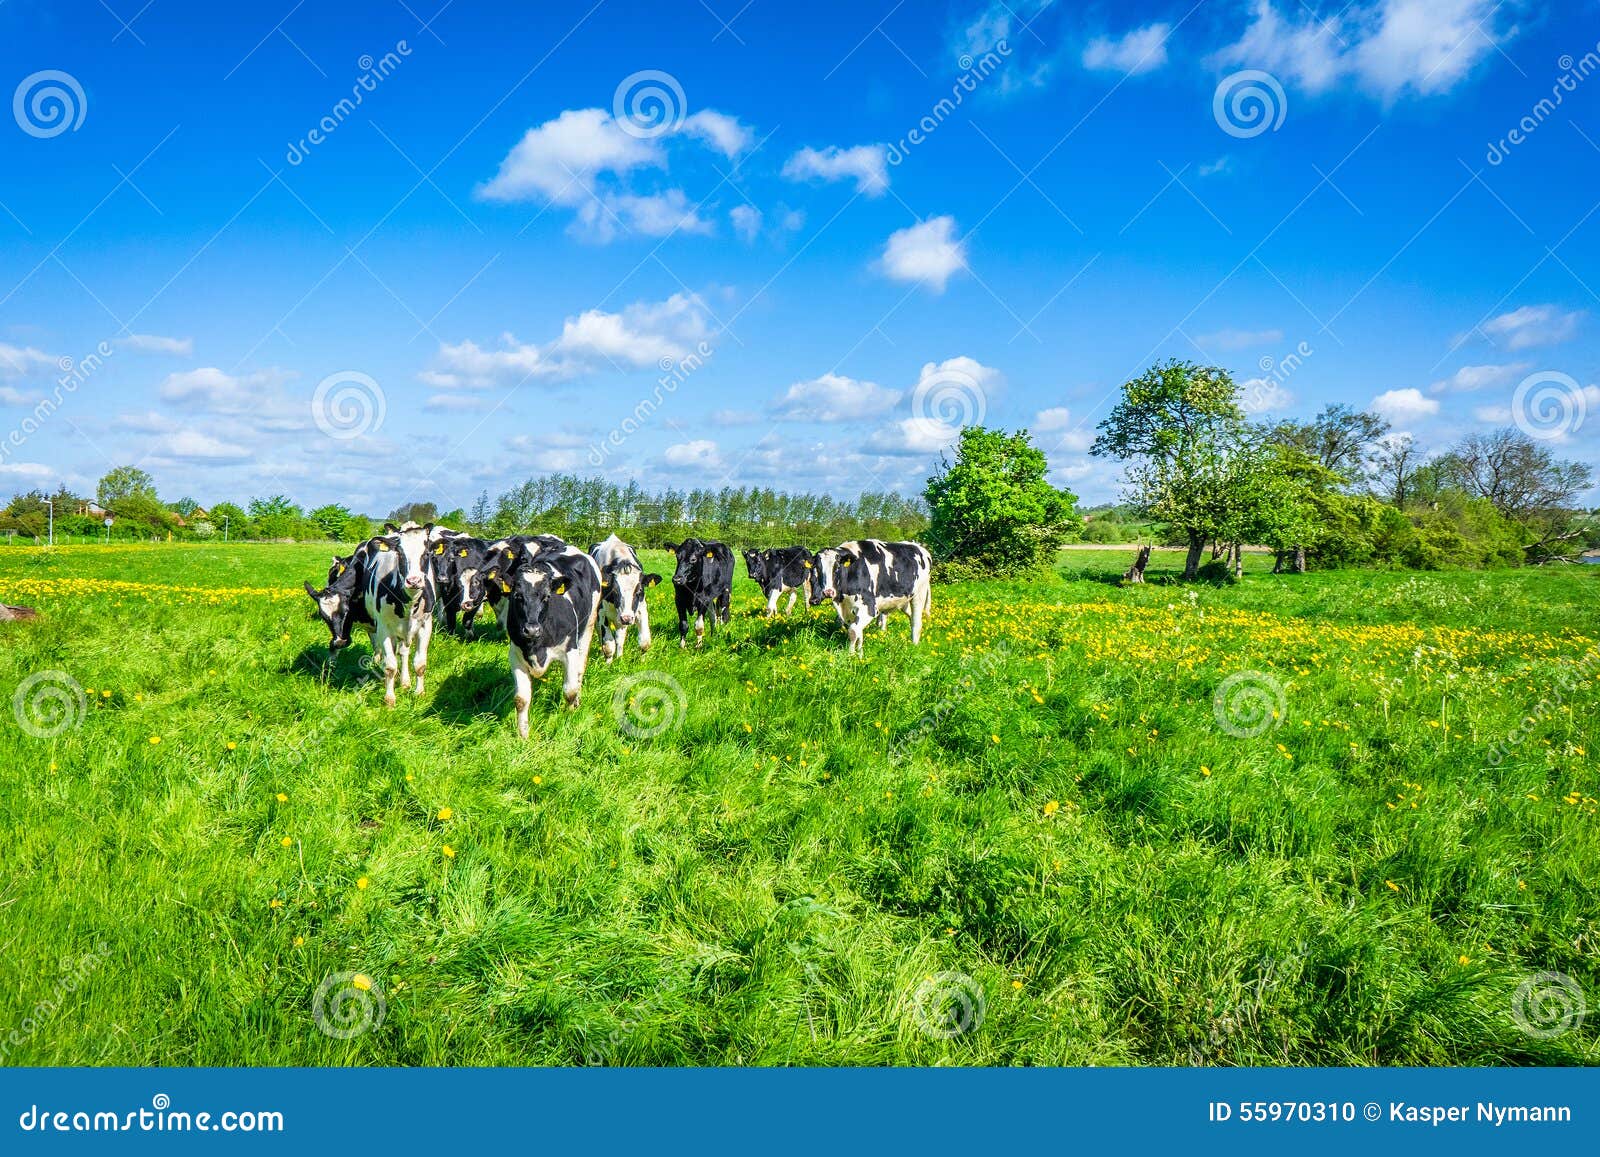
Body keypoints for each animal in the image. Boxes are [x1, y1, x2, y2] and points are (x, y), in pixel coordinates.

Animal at [363, 522, 437, 705]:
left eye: (426, 553)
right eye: (399, 553)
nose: (414, 581)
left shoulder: (426, 625)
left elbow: (420, 664)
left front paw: (419, 692)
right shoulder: (384, 627)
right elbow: (390, 666)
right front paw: (389, 698)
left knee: (403, 653)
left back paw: (404, 682)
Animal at [495, 542, 603, 736]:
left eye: (546, 597)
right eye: (517, 596)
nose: (531, 629)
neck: (536, 646)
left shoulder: (570, 651)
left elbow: (570, 691)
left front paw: (569, 720)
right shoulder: (515, 655)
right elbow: (521, 699)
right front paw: (523, 735)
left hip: (589, 624)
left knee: (580, 669)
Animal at [589, 533, 661, 662]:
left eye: (640, 590)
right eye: (614, 591)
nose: (626, 618)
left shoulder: (641, 608)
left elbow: (644, 642)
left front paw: (642, 662)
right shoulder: (600, 612)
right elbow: (608, 645)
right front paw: (608, 664)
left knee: (620, 637)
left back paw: (619, 657)